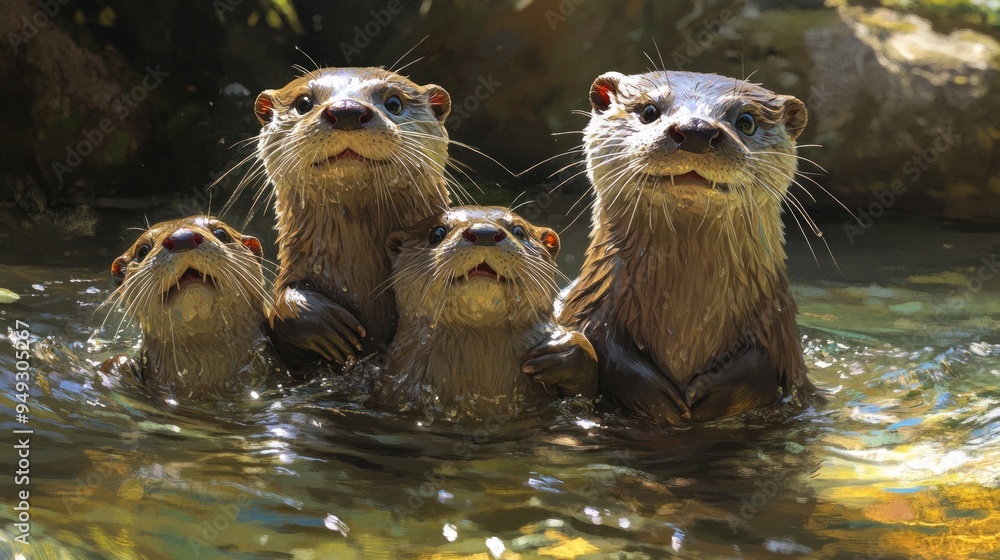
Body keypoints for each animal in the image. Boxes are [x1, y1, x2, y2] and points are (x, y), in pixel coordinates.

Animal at [559, 70, 819, 423]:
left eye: (746, 121)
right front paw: (658, 400)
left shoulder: (779, 327)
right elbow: (605, 347)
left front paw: (709, 395)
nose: (696, 131)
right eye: (649, 111)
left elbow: (765, 364)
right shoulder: (593, 305)